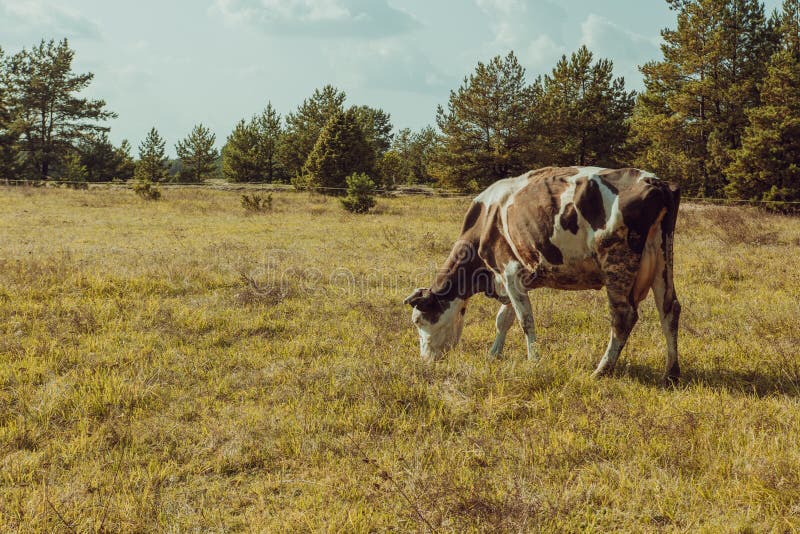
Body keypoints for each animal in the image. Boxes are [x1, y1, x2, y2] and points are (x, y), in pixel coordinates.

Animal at [404, 166, 682, 385]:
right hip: (662, 258)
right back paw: (671, 374)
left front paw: (534, 360)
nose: (425, 361)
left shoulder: (509, 270)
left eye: (418, 320)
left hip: (616, 262)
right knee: (669, 309)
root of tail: (656, 181)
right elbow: (504, 319)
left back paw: (601, 370)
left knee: (623, 316)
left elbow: (525, 320)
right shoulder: (511, 280)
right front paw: (494, 354)